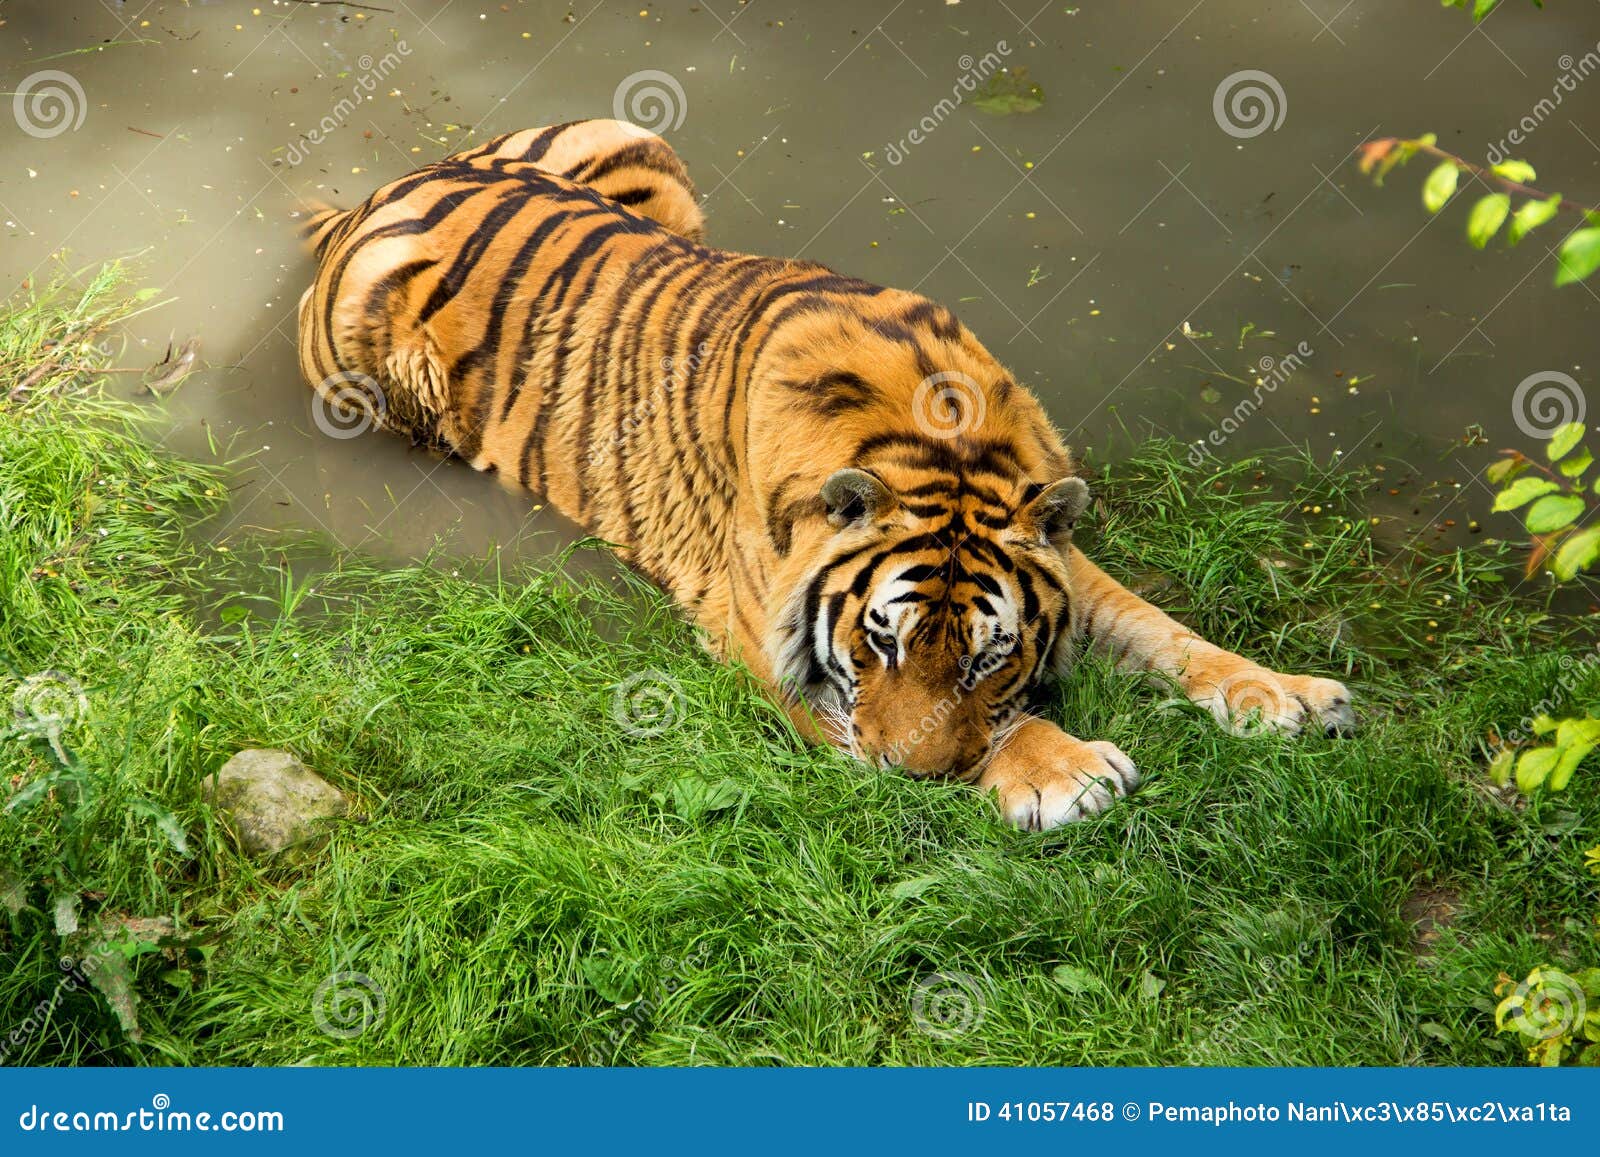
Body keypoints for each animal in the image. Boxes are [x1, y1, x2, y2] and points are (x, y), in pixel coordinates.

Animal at [296, 118, 1354, 831]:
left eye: (989, 654)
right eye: (881, 641)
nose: (915, 779)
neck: (939, 440)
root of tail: (381, 191)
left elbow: (1157, 626)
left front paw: (1286, 695)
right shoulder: (766, 653)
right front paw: (1063, 771)